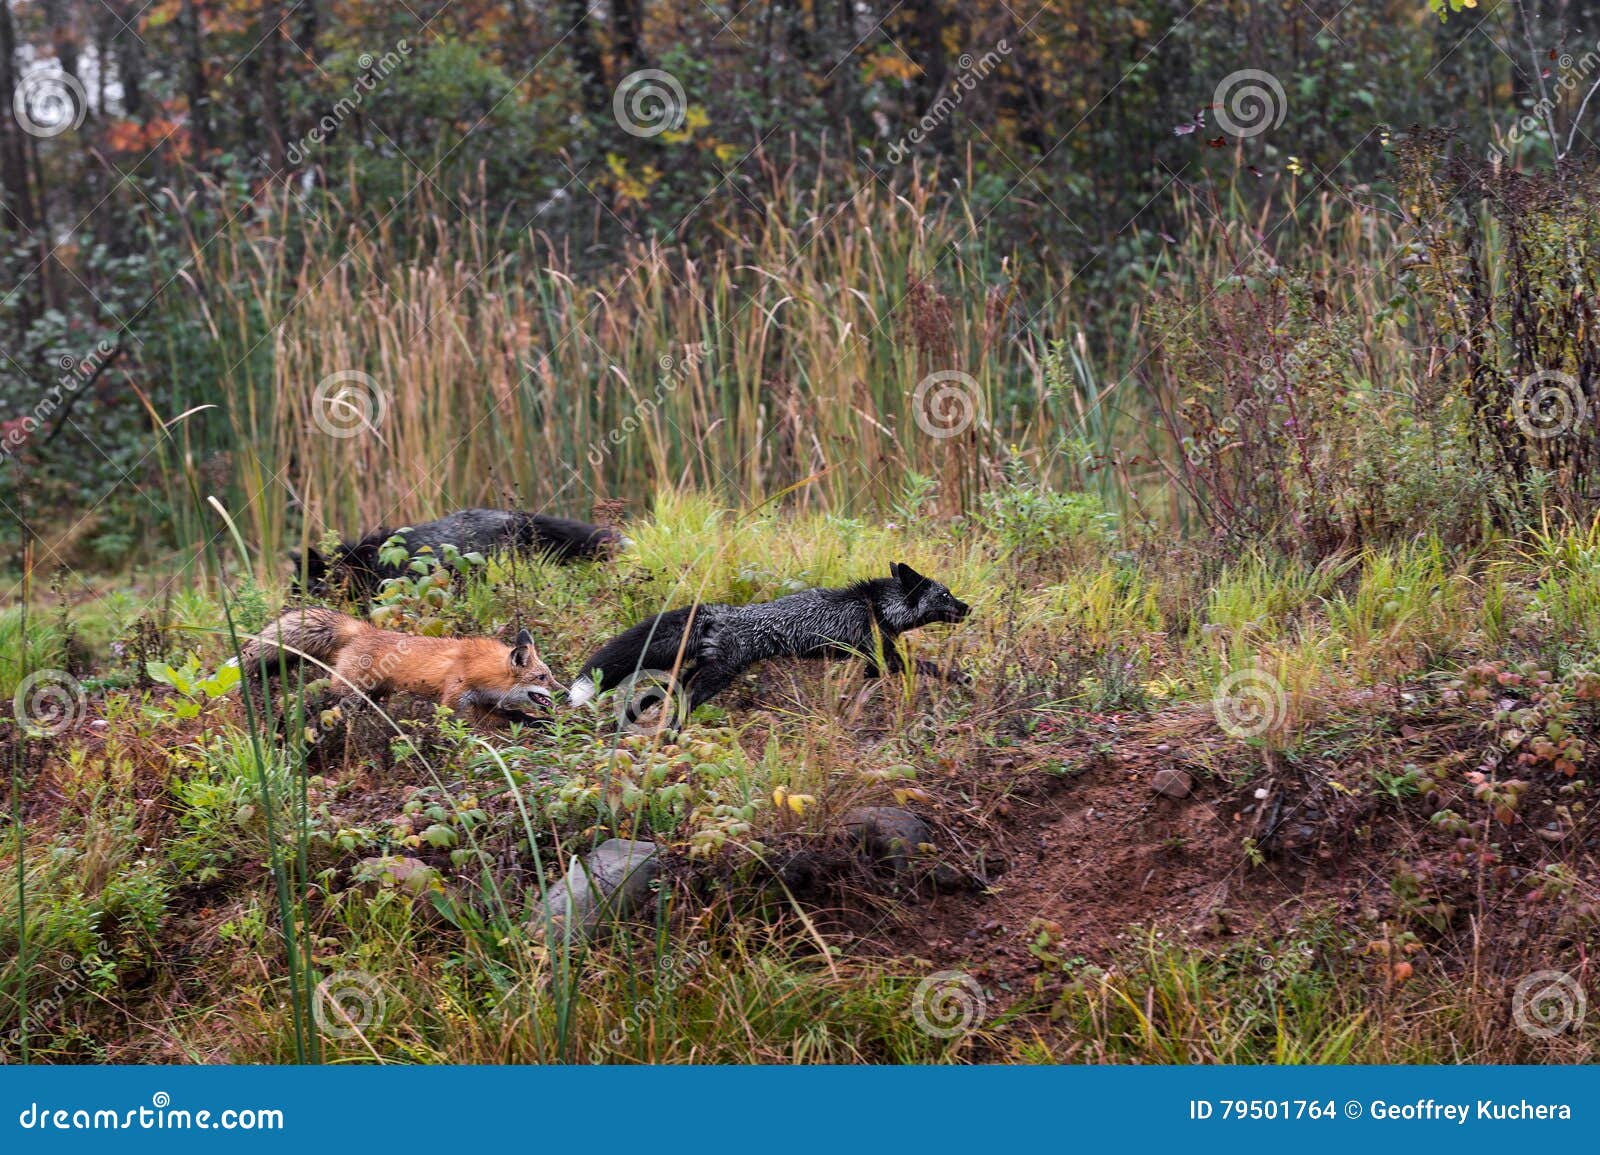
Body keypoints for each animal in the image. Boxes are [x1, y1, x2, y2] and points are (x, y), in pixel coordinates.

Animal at [239, 606, 555, 724]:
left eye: (550, 676)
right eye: (541, 677)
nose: (563, 692)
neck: (478, 667)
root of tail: (362, 630)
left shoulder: (483, 706)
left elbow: (520, 718)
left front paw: (545, 725)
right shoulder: (452, 701)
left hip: (374, 696)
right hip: (350, 693)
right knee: (314, 701)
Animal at [568, 562, 971, 723]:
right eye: (945, 595)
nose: (968, 608)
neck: (877, 607)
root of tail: (721, 612)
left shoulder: (873, 664)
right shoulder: (885, 658)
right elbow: (929, 666)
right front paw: (961, 677)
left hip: (693, 672)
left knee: (653, 698)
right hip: (715, 679)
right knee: (679, 709)